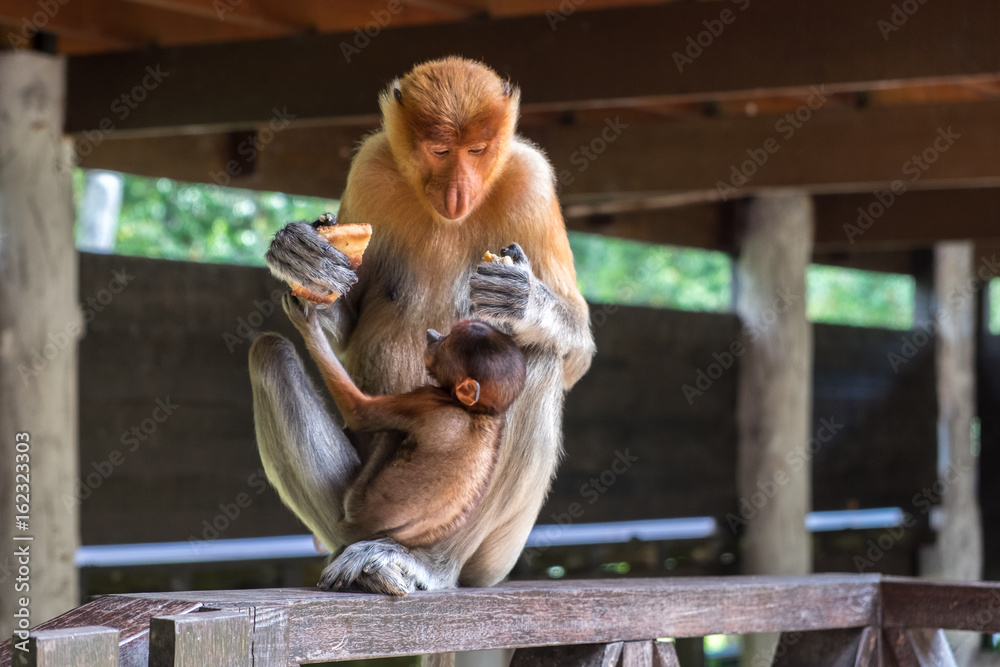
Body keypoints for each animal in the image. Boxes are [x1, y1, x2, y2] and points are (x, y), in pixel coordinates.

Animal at [282, 292, 527, 551]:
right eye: (446, 335)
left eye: (445, 343)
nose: (433, 336)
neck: (478, 412)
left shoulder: (426, 400)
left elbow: (359, 414)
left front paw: (307, 322)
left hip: (355, 500)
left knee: (389, 432)